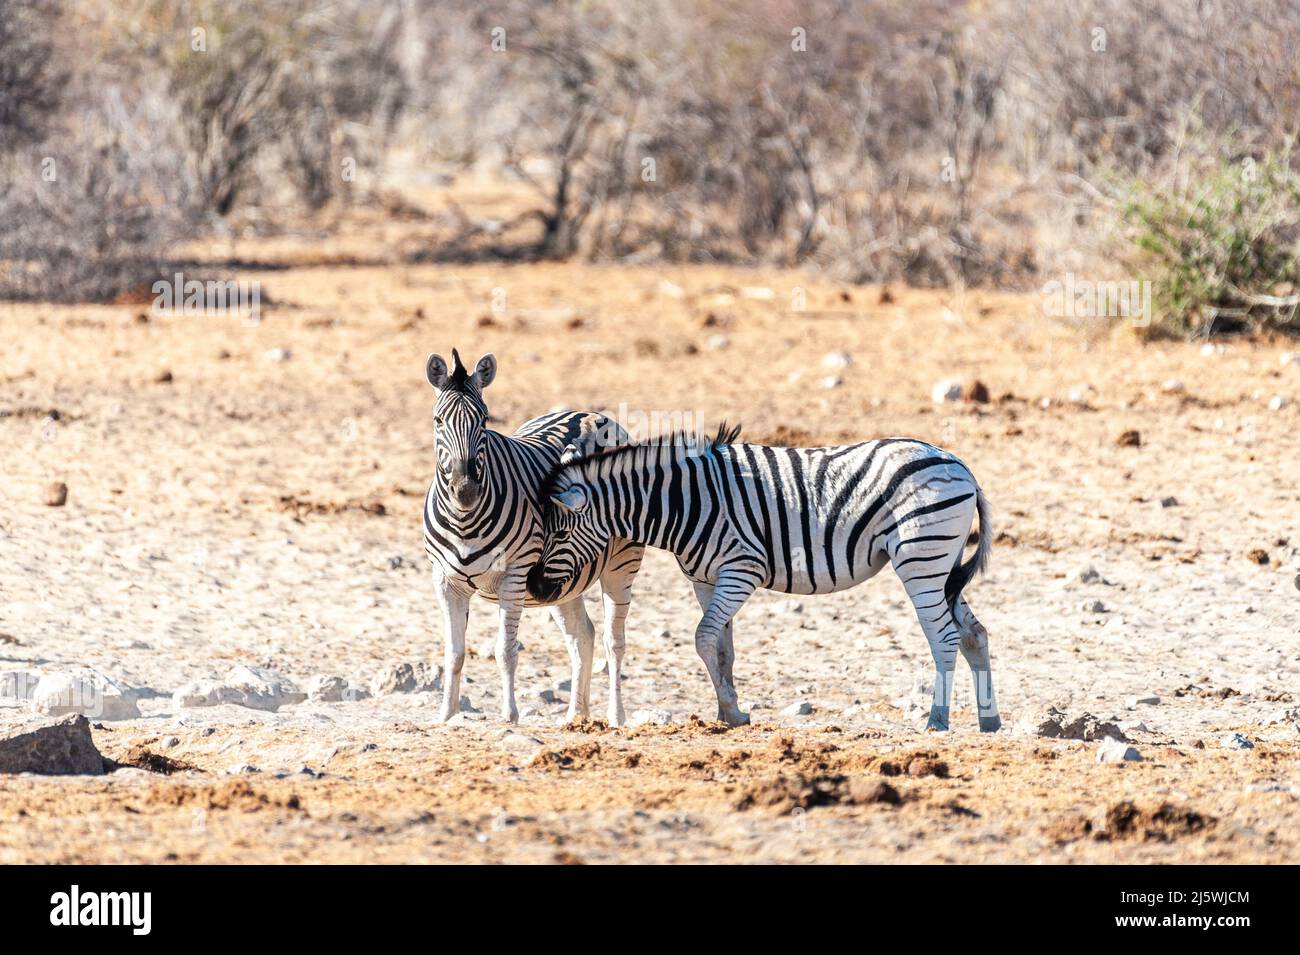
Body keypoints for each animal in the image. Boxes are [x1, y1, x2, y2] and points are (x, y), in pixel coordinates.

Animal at [423, 349, 644, 725]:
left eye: (484, 421)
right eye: (438, 421)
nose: (465, 491)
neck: (465, 520)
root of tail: (592, 415)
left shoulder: (514, 576)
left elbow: (505, 650)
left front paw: (509, 715)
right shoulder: (445, 581)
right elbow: (454, 652)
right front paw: (447, 715)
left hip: (620, 564)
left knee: (614, 642)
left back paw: (616, 718)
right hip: (560, 578)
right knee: (582, 635)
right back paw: (576, 716)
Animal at [528, 424, 1000, 731]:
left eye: (559, 533)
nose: (535, 588)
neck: (682, 503)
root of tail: (960, 465)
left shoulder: (742, 569)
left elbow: (702, 637)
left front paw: (731, 710)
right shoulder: (706, 579)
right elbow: (722, 648)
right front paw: (727, 712)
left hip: (921, 557)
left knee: (944, 636)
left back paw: (937, 720)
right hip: (942, 565)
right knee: (974, 633)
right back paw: (989, 720)